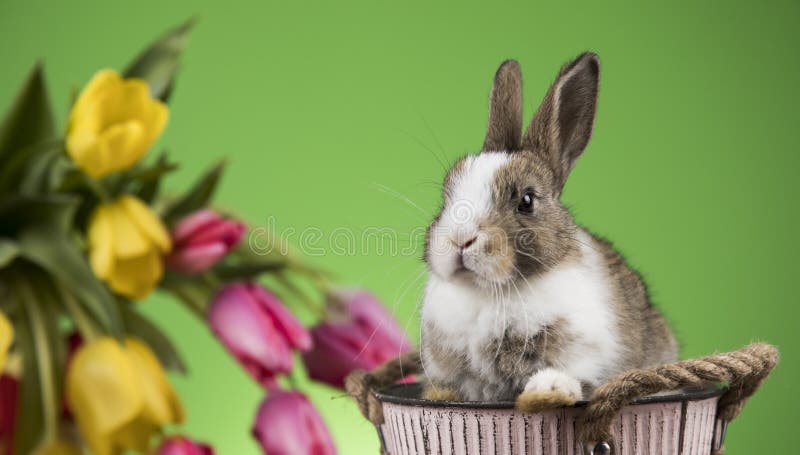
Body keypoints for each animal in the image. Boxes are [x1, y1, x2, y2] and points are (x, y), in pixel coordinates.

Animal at [420, 52, 678, 410]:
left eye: (526, 200)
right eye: (446, 195)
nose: (460, 239)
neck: (489, 292)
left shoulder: (581, 352)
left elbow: (571, 377)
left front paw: (547, 392)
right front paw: (439, 395)